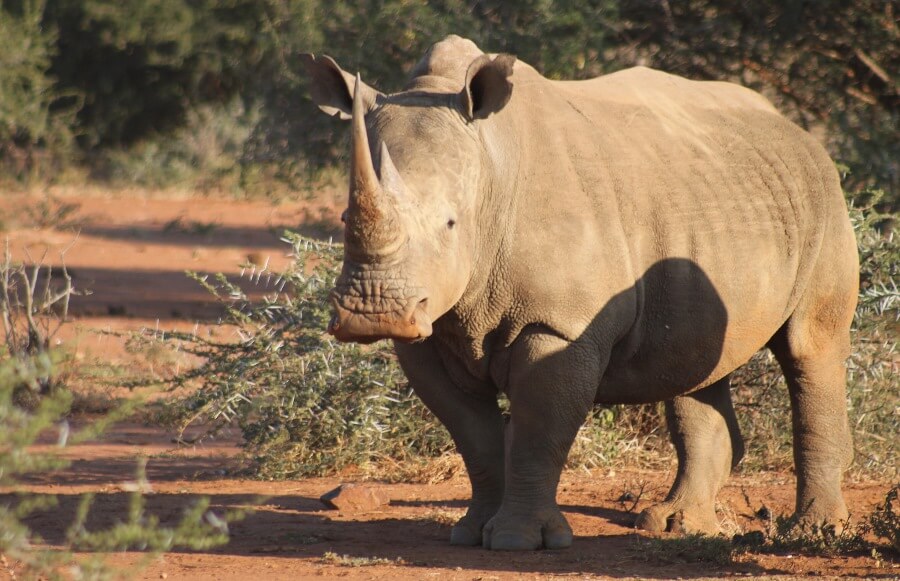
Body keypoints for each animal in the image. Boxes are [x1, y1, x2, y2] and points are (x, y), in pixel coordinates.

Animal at [300, 35, 859, 551]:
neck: (491, 169)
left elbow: (537, 431)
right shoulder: (428, 334)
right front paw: (471, 532)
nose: (373, 311)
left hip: (826, 200)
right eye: (344, 218)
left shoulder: (559, 325)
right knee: (698, 357)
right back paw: (676, 526)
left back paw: (812, 532)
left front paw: (517, 541)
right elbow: (474, 438)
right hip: (714, 198)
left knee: (810, 345)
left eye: (450, 224)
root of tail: (797, 130)